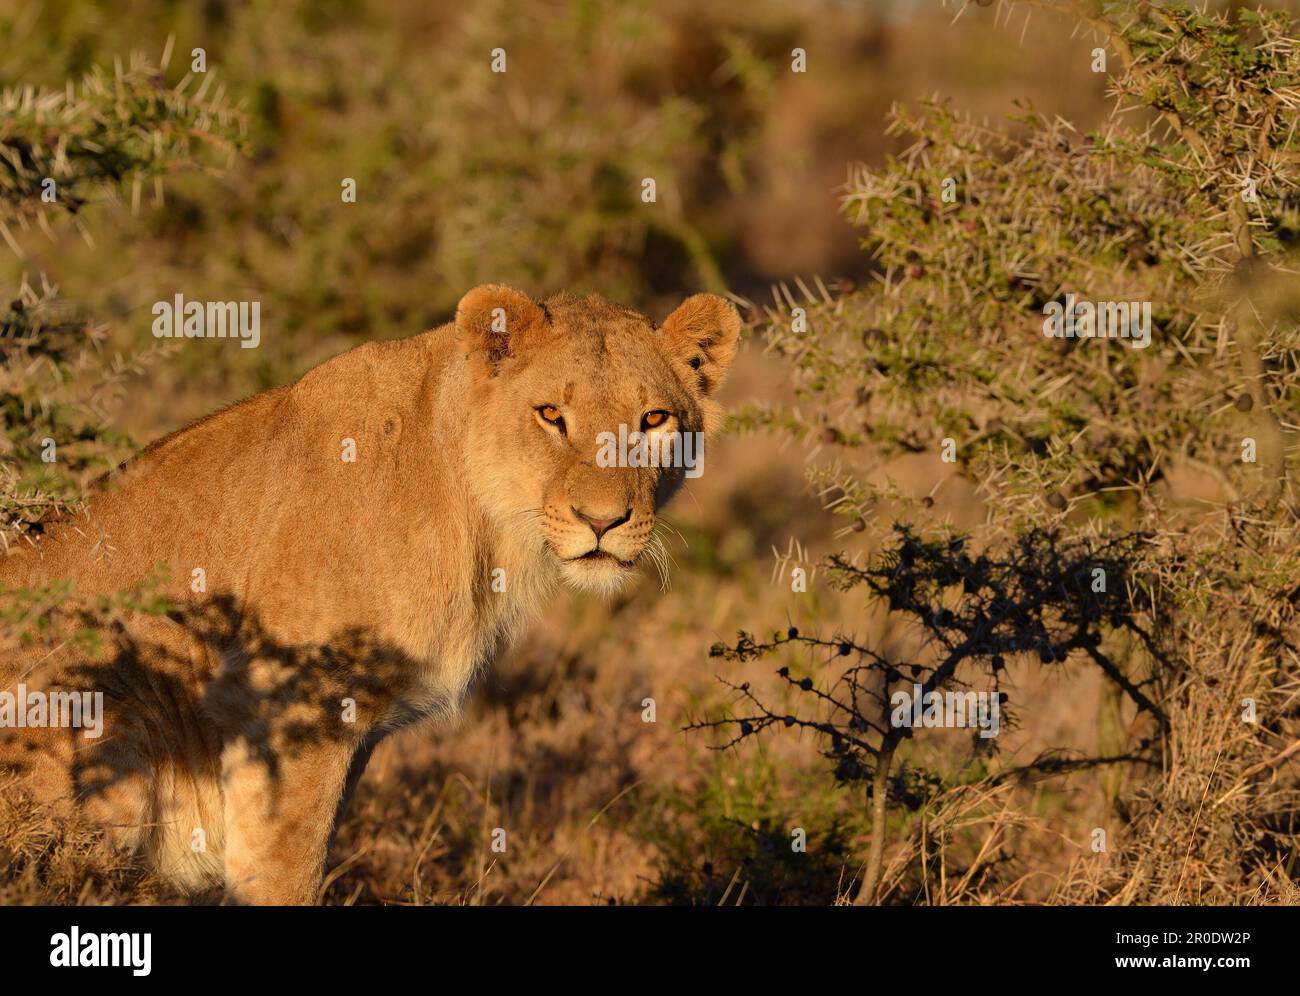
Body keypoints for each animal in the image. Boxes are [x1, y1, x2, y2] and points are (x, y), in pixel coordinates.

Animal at [0, 285, 740, 904]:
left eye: (653, 420)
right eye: (551, 415)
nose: (603, 520)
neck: (486, 523)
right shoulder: (293, 706)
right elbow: (285, 869)